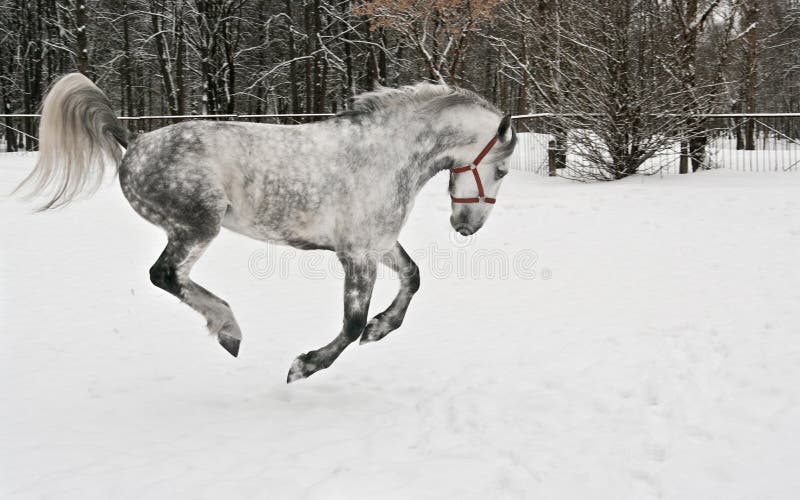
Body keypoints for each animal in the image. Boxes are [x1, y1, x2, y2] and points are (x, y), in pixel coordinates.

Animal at [16, 73, 517, 382]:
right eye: (503, 171)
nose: (467, 227)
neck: (385, 154)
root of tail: (133, 141)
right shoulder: (356, 254)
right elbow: (351, 322)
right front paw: (305, 366)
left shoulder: (376, 243)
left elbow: (413, 278)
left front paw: (381, 329)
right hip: (197, 226)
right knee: (166, 275)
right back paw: (228, 328)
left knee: (172, 278)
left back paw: (228, 330)